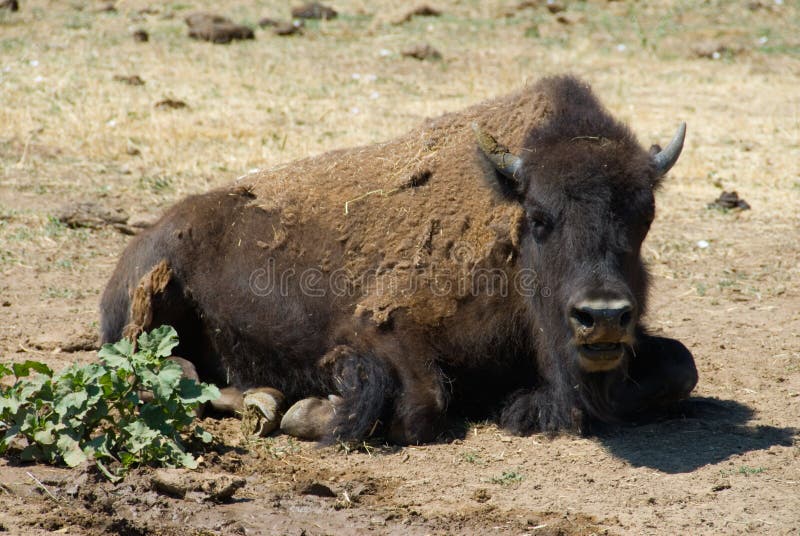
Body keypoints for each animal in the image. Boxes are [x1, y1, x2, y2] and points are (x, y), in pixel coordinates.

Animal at [100, 75, 698, 444]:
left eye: (644, 216)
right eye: (540, 218)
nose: (602, 317)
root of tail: (149, 235)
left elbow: (682, 366)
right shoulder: (381, 326)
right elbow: (421, 402)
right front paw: (312, 412)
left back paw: (263, 399)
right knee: (167, 372)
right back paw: (270, 405)